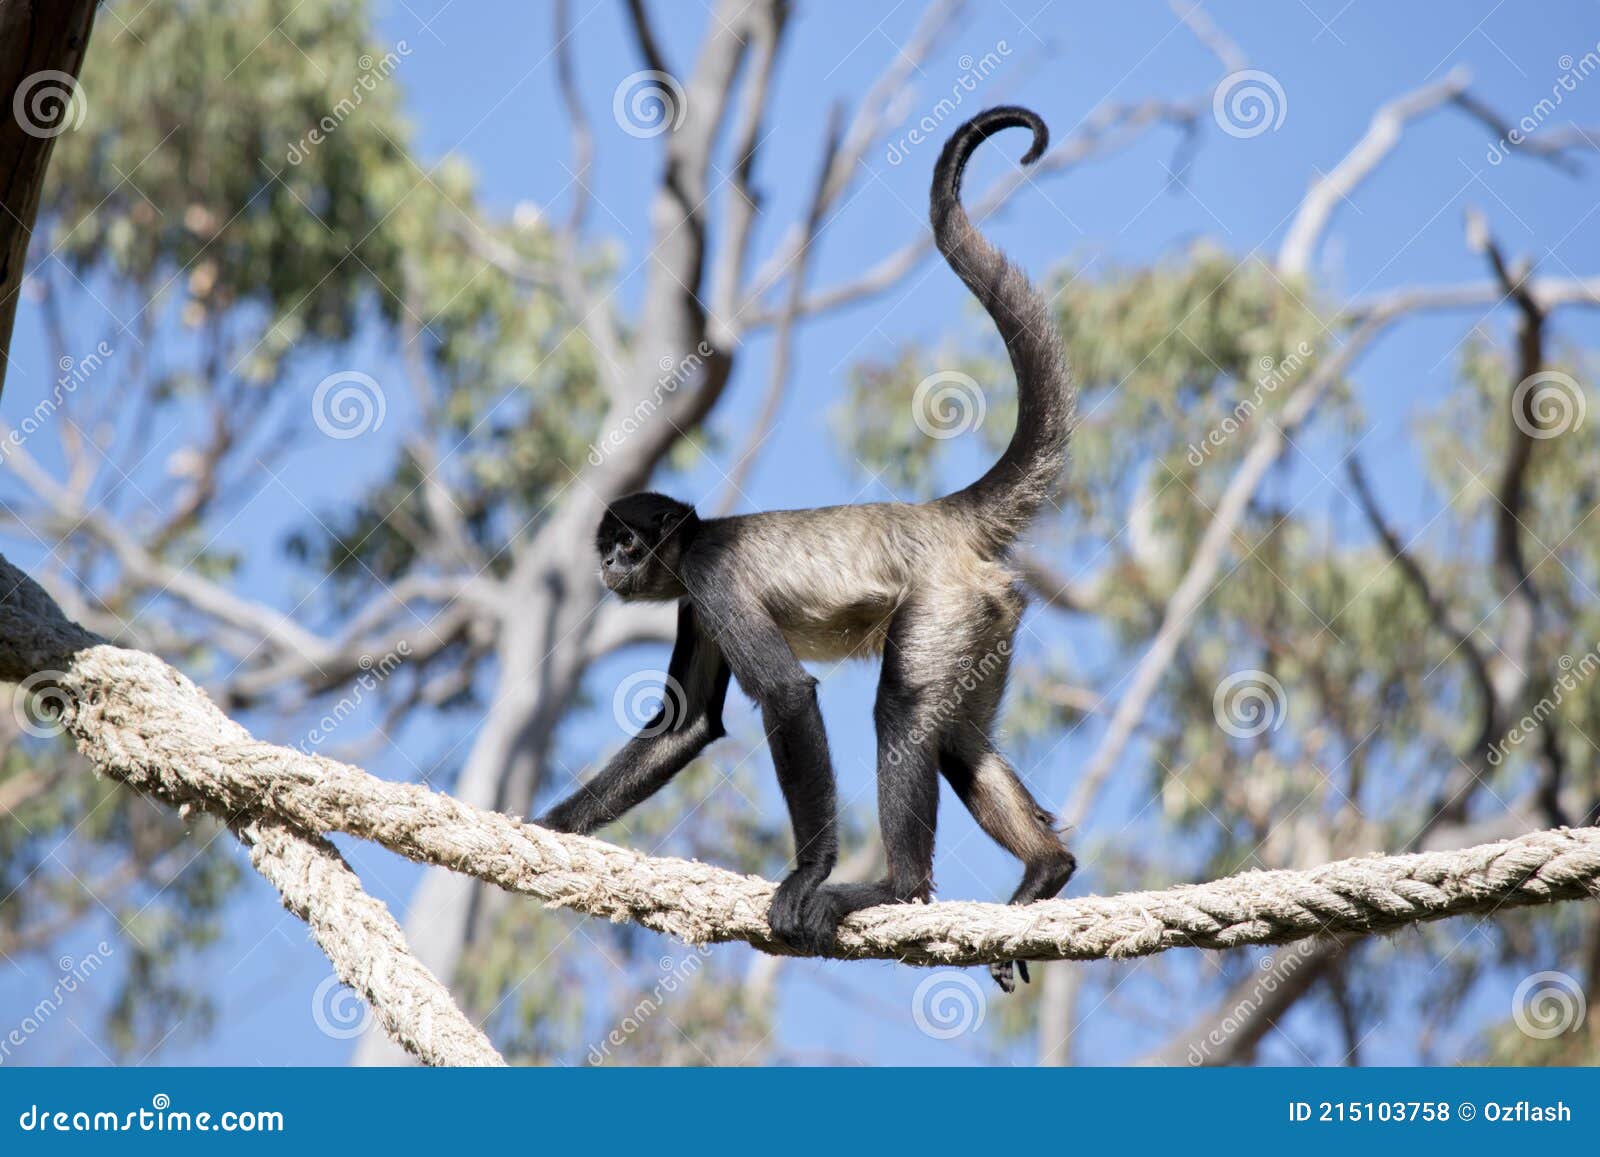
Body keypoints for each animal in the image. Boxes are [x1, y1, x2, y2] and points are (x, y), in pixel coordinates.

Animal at [538, 106, 1076, 992]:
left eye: (626, 543)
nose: (609, 566)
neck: (702, 532)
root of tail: (938, 517)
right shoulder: (697, 596)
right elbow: (686, 726)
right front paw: (547, 825)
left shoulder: (708, 571)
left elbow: (788, 695)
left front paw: (808, 874)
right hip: (989, 616)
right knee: (956, 735)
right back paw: (1046, 873)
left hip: (946, 602)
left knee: (904, 708)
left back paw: (895, 886)